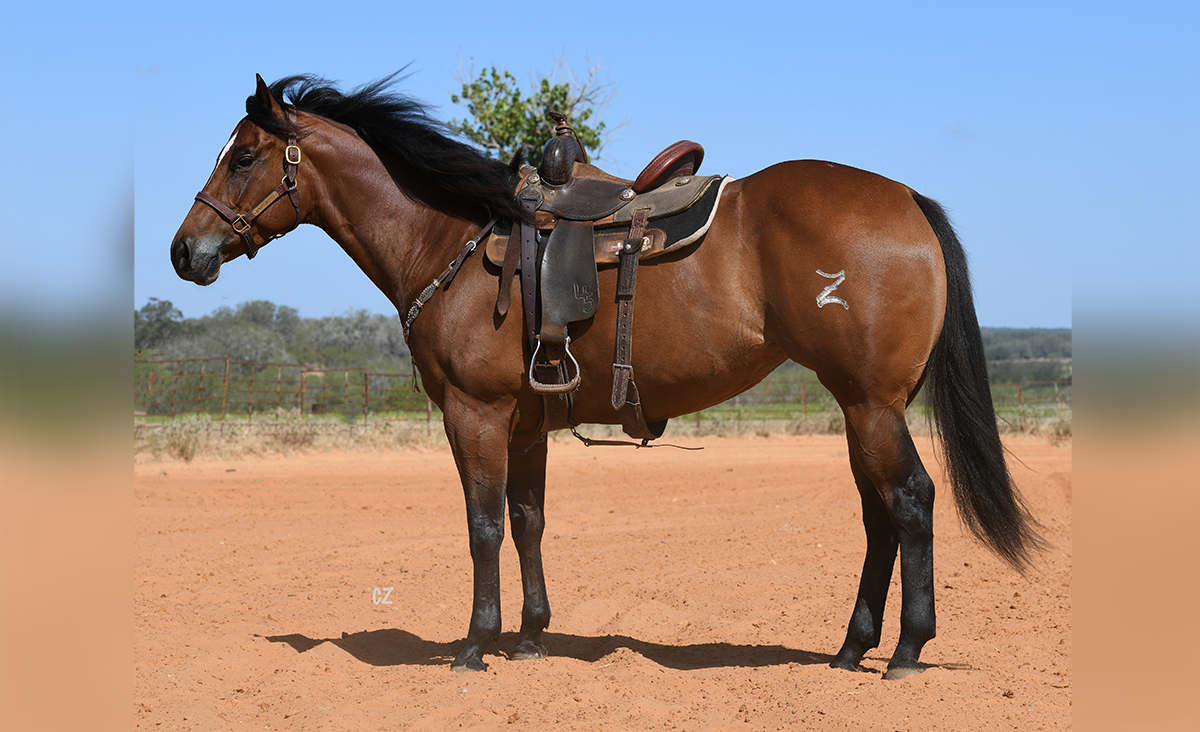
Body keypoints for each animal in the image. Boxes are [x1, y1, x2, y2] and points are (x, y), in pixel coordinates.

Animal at [170, 73, 1043, 679]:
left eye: (243, 156)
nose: (185, 252)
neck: (454, 239)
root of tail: (907, 199)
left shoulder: (475, 415)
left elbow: (482, 526)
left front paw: (476, 644)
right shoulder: (524, 423)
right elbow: (527, 521)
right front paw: (530, 637)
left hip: (871, 406)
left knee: (911, 504)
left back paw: (905, 651)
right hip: (864, 408)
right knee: (878, 517)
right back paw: (851, 648)